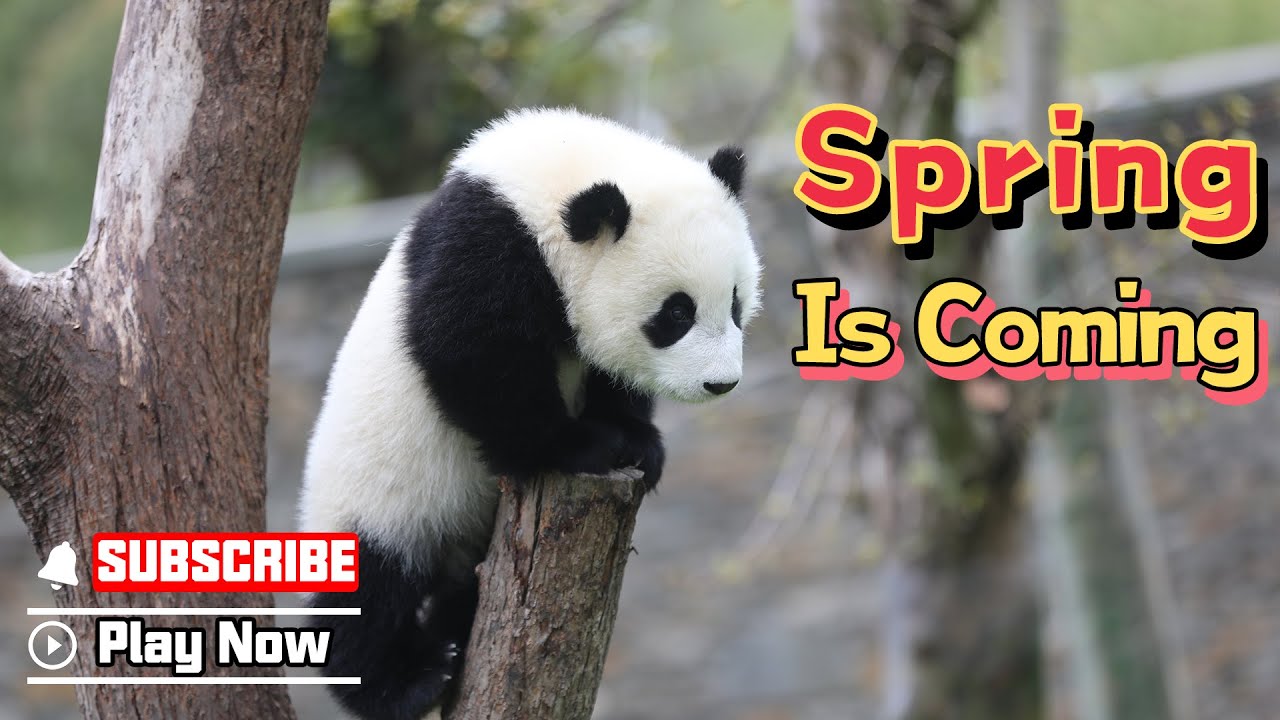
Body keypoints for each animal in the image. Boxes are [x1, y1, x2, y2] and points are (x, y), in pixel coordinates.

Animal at [299, 107, 762, 720]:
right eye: (676, 313)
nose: (720, 382)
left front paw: (639, 443)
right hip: (372, 498)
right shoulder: (490, 244)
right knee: (367, 592)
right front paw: (581, 446)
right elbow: (470, 352)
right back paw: (408, 680)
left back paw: (453, 629)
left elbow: (606, 374)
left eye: (734, 302)